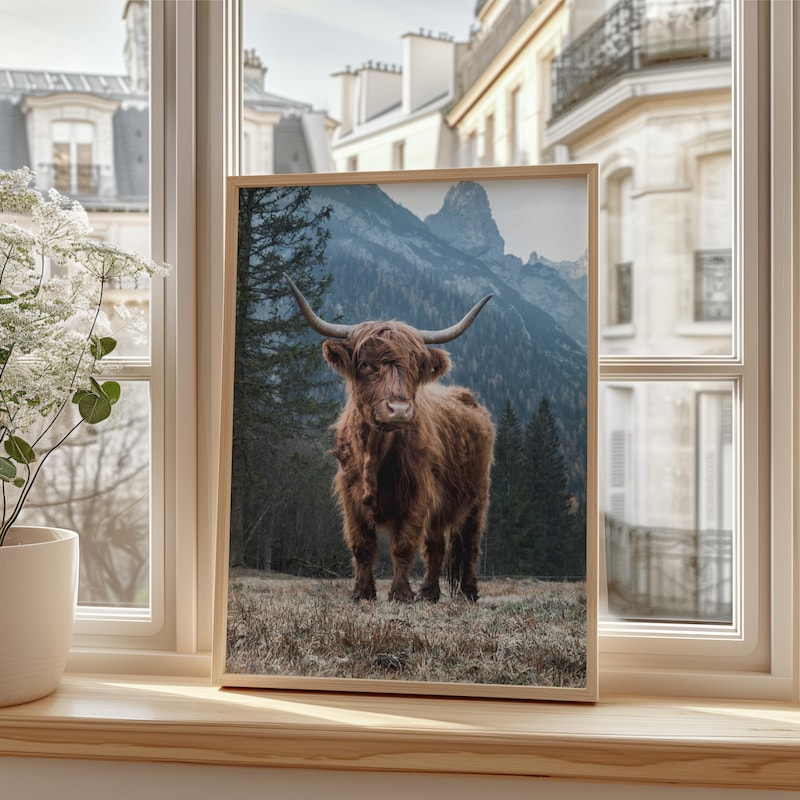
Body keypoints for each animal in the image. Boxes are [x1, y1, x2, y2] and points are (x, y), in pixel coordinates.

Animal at [284, 273, 495, 603]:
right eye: (365, 364)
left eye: (414, 367)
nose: (399, 409)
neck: (375, 451)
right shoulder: (350, 496)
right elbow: (362, 546)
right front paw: (362, 593)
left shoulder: (418, 495)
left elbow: (403, 545)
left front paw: (400, 593)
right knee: (435, 546)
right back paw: (429, 593)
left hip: (478, 496)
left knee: (470, 543)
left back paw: (469, 593)